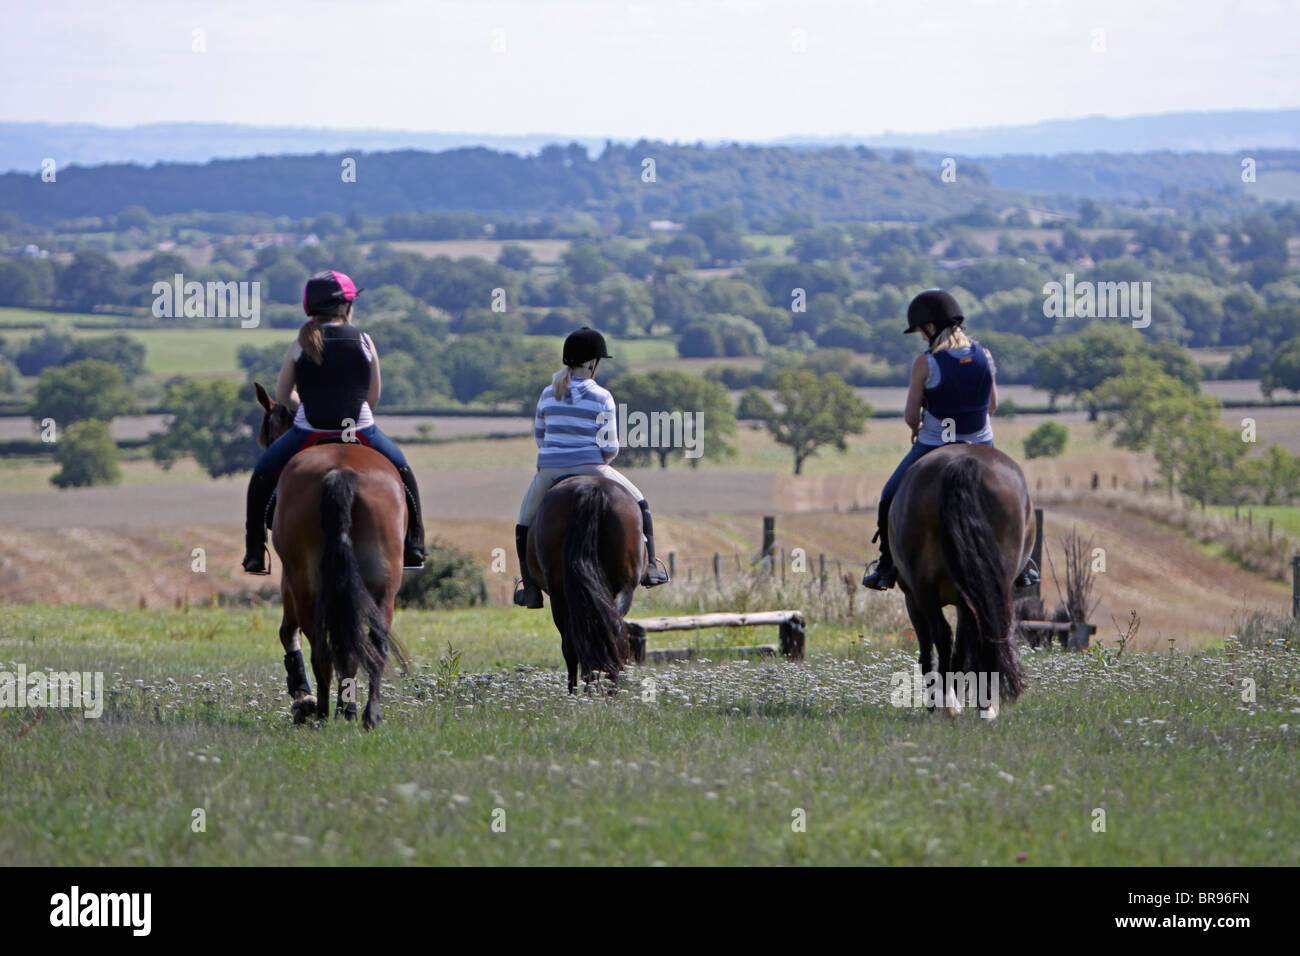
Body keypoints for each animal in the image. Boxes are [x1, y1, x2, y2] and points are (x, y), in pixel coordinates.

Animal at [253, 382, 407, 728]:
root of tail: (341, 471)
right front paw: (343, 707)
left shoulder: (289, 580)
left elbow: (288, 631)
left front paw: (302, 698)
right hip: (383, 579)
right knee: (373, 645)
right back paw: (367, 714)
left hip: (305, 582)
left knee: (320, 646)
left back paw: (321, 711)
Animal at [525, 475, 647, 693]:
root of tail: (590, 488)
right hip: (624, 587)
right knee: (611, 629)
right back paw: (606, 686)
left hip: (560, 594)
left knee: (575, 642)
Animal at [889, 443, 1032, 719]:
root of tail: (962, 462)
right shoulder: (967, 596)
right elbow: (965, 642)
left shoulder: (911, 597)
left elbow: (929, 648)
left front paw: (938, 700)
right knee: (983, 632)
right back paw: (984, 706)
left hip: (923, 589)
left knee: (942, 635)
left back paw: (948, 703)